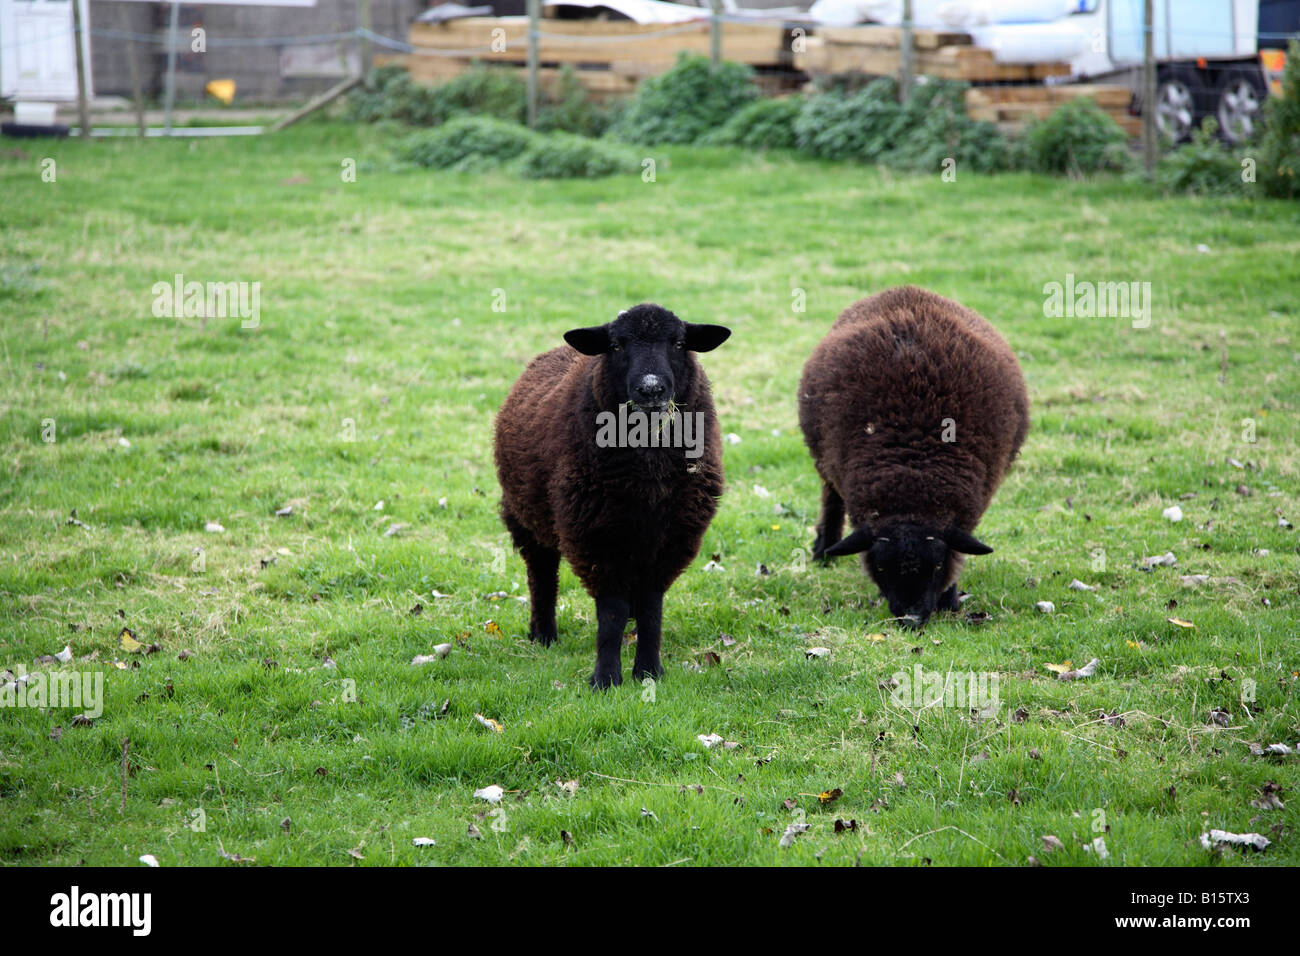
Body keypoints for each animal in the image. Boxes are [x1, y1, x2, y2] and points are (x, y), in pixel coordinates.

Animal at [493, 304, 731, 689]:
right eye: (617, 345)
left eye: (679, 343)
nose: (651, 388)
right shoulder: (596, 537)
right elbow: (611, 612)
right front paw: (606, 678)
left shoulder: (672, 538)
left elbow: (650, 607)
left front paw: (648, 672)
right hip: (525, 514)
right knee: (541, 572)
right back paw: (543, 634)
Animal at [798, 286, 1029, 628]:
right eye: (881, 567)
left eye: (936, 566)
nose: (911, 618)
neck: (912, 481)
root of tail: (905, 292)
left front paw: (949, 600)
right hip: (823, 459)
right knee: (831, 497)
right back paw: (824, 549)